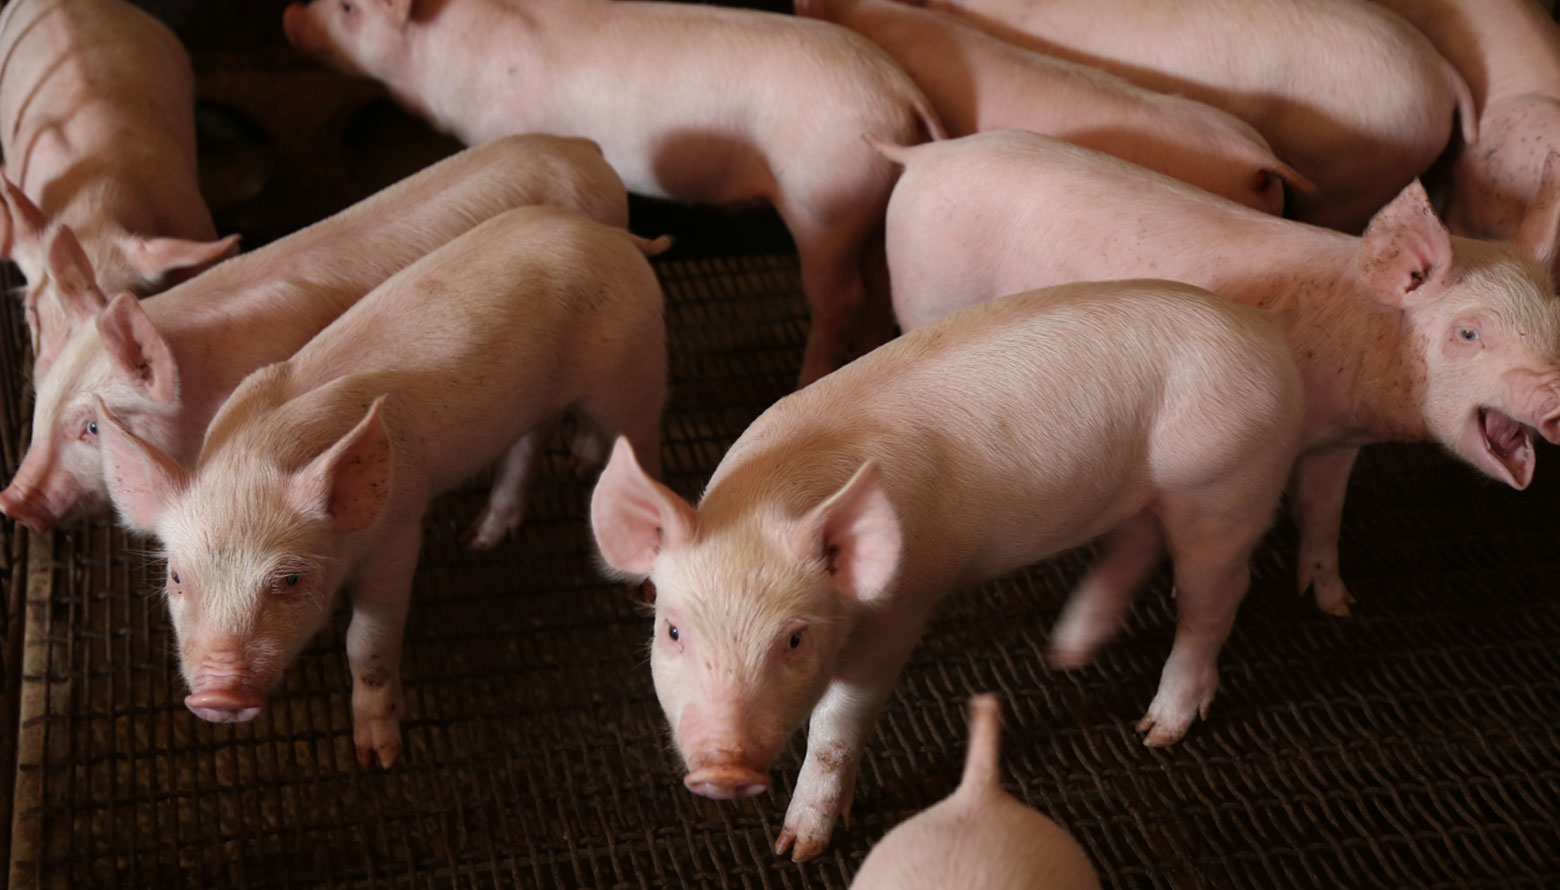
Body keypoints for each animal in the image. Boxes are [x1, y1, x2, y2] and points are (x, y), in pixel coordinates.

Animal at [96, 204, 668, 768]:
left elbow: (366, 646)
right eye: (175, 576)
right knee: (531, 439)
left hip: (633, 373)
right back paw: (481, 539)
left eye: (290, 579)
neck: (257, 458)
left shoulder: (398, 534)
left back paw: (632, 570)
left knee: (641, 449)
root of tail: (614, 237)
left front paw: (379, 758)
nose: (218, 696)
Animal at [281, 0, 944, 386]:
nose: (287, 13)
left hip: (824, 198)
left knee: (841, 296)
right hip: (867, 204)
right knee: (878, 286)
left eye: (349, 8)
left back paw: (805, 381)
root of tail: (900, 91)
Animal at [591, 278, 1304, 859]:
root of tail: (1271, 335)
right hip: (1150, 491)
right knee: (1136, 544)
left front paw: (797, 849)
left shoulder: (900, 609)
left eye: (793, 639)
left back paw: (1156, 731)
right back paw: (1066, 654)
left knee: (1215, 597)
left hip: (1223, 486)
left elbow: (835, 728)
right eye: (672, 631)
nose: (725, 770)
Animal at [875, 130, 1560, 618]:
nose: (1554, 396)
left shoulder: (1336, 443)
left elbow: (1325, 516)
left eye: (1555, 320)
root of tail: (922, 155)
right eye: (1468, 332)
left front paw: (1339, 606)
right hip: (925, 290)